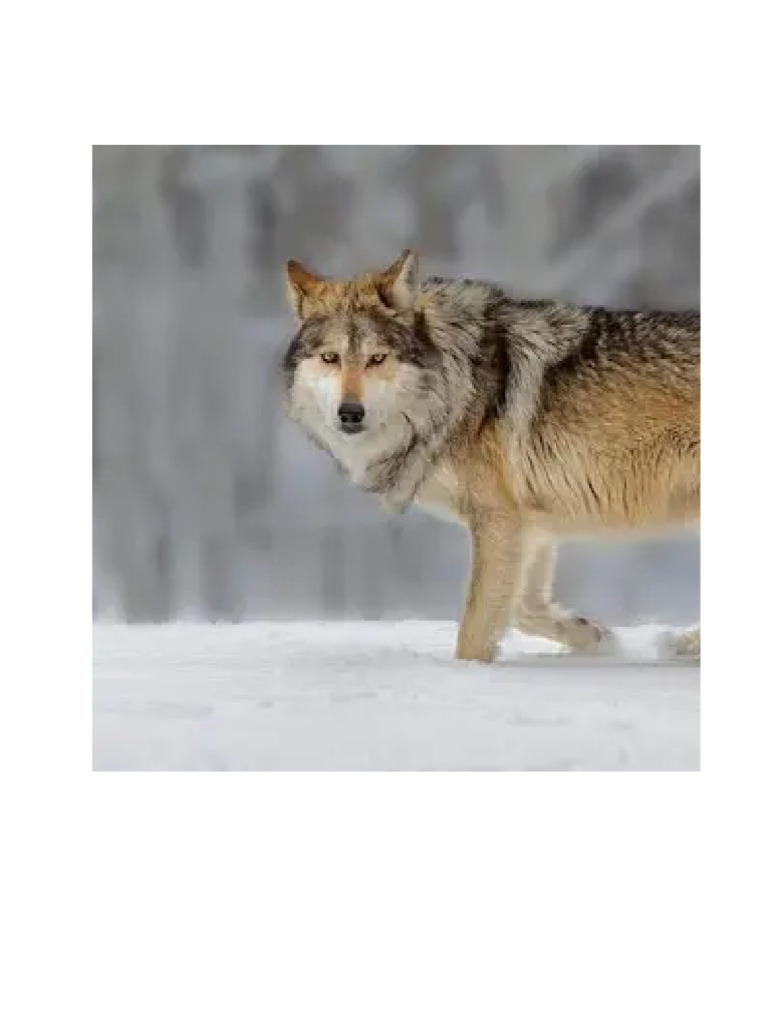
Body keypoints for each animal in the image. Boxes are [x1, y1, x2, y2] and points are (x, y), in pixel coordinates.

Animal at [282, 250, 700, 663]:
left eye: (376, 358)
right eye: (331, 358)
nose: (350, 413)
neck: (455, 385)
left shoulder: (498, 520)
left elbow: (474, 632)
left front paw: (469, 674)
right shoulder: (531, 522)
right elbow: (524, 610)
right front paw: (598, 638)